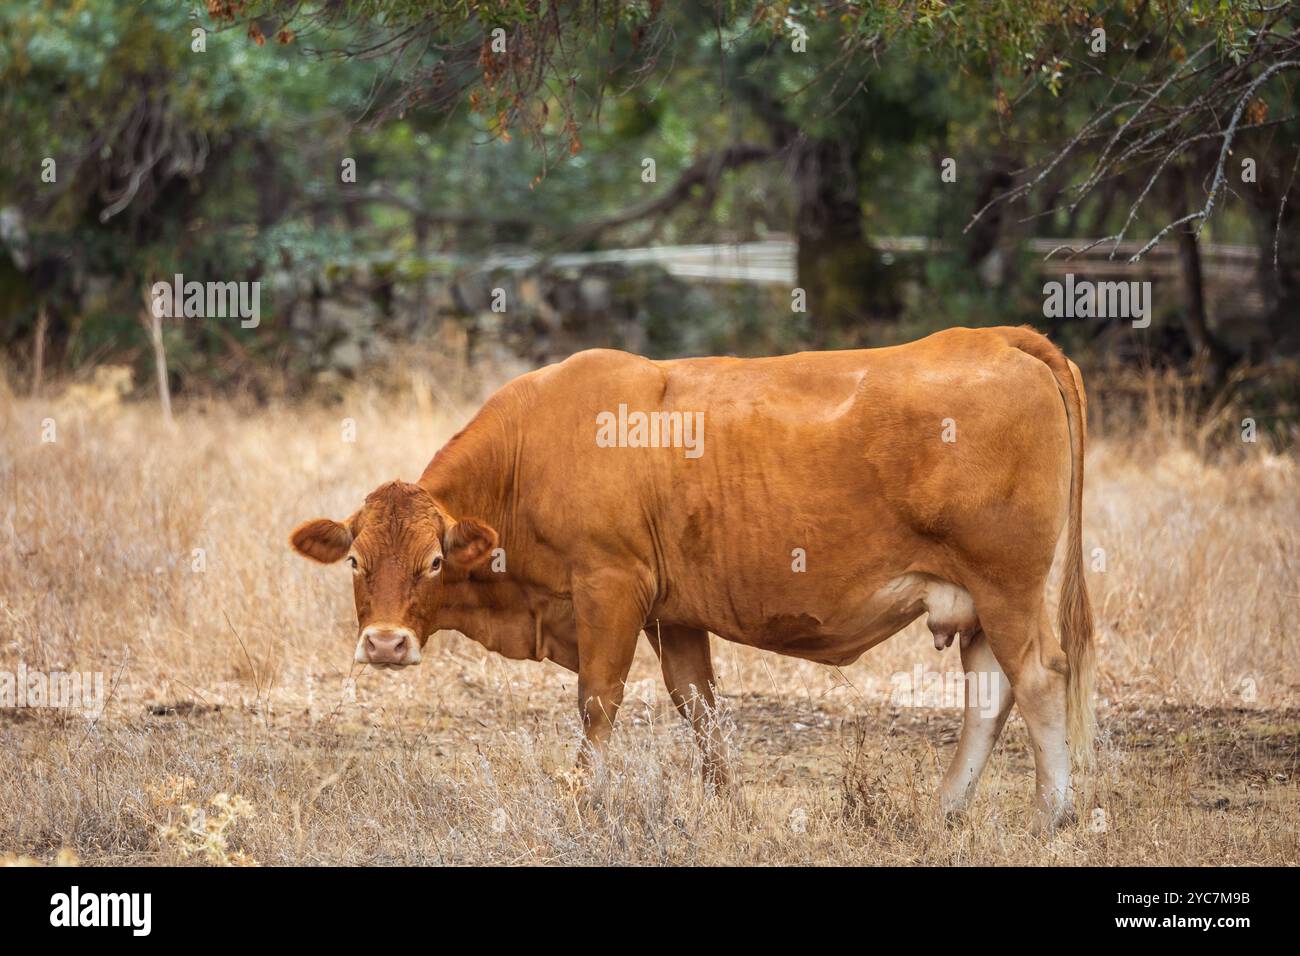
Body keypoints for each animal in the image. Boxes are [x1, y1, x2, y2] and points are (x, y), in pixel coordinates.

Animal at [291, 325, 1094, 828]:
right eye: (357, 561)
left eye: (432, 561)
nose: (385, 644)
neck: (531, 452)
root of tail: (995, 337)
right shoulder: (672, 615)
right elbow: (701, 711)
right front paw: (730, 810)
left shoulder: (609, 588)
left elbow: (598, 703)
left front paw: (585, 802)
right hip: (976, 600)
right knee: (989, 695)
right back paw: (944, 811)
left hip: (1007, 587)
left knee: (1039, 678)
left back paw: (1051, 813)